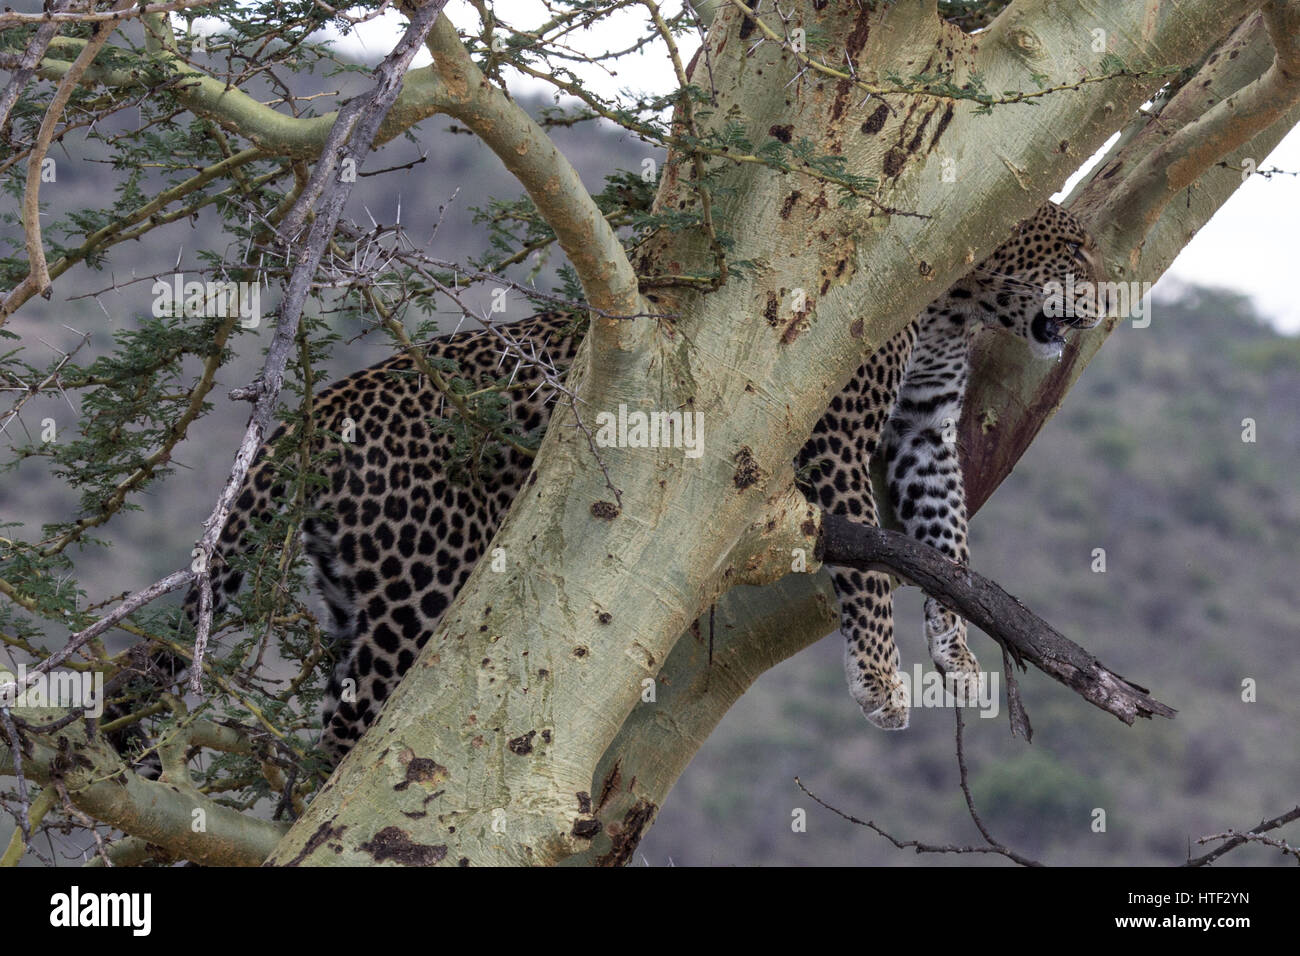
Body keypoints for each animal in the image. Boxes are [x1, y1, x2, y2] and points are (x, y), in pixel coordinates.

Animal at [113, 202, 1102, 770]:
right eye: (1080, 255)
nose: (1103, 302)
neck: (957, 301)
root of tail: (327, 404)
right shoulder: (838, 437)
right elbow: (868, 567)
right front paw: (881, 684)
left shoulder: (925, 427)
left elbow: (948, 540)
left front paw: (958, 657)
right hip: (419, 586)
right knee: (370, 734)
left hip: (358, 592)